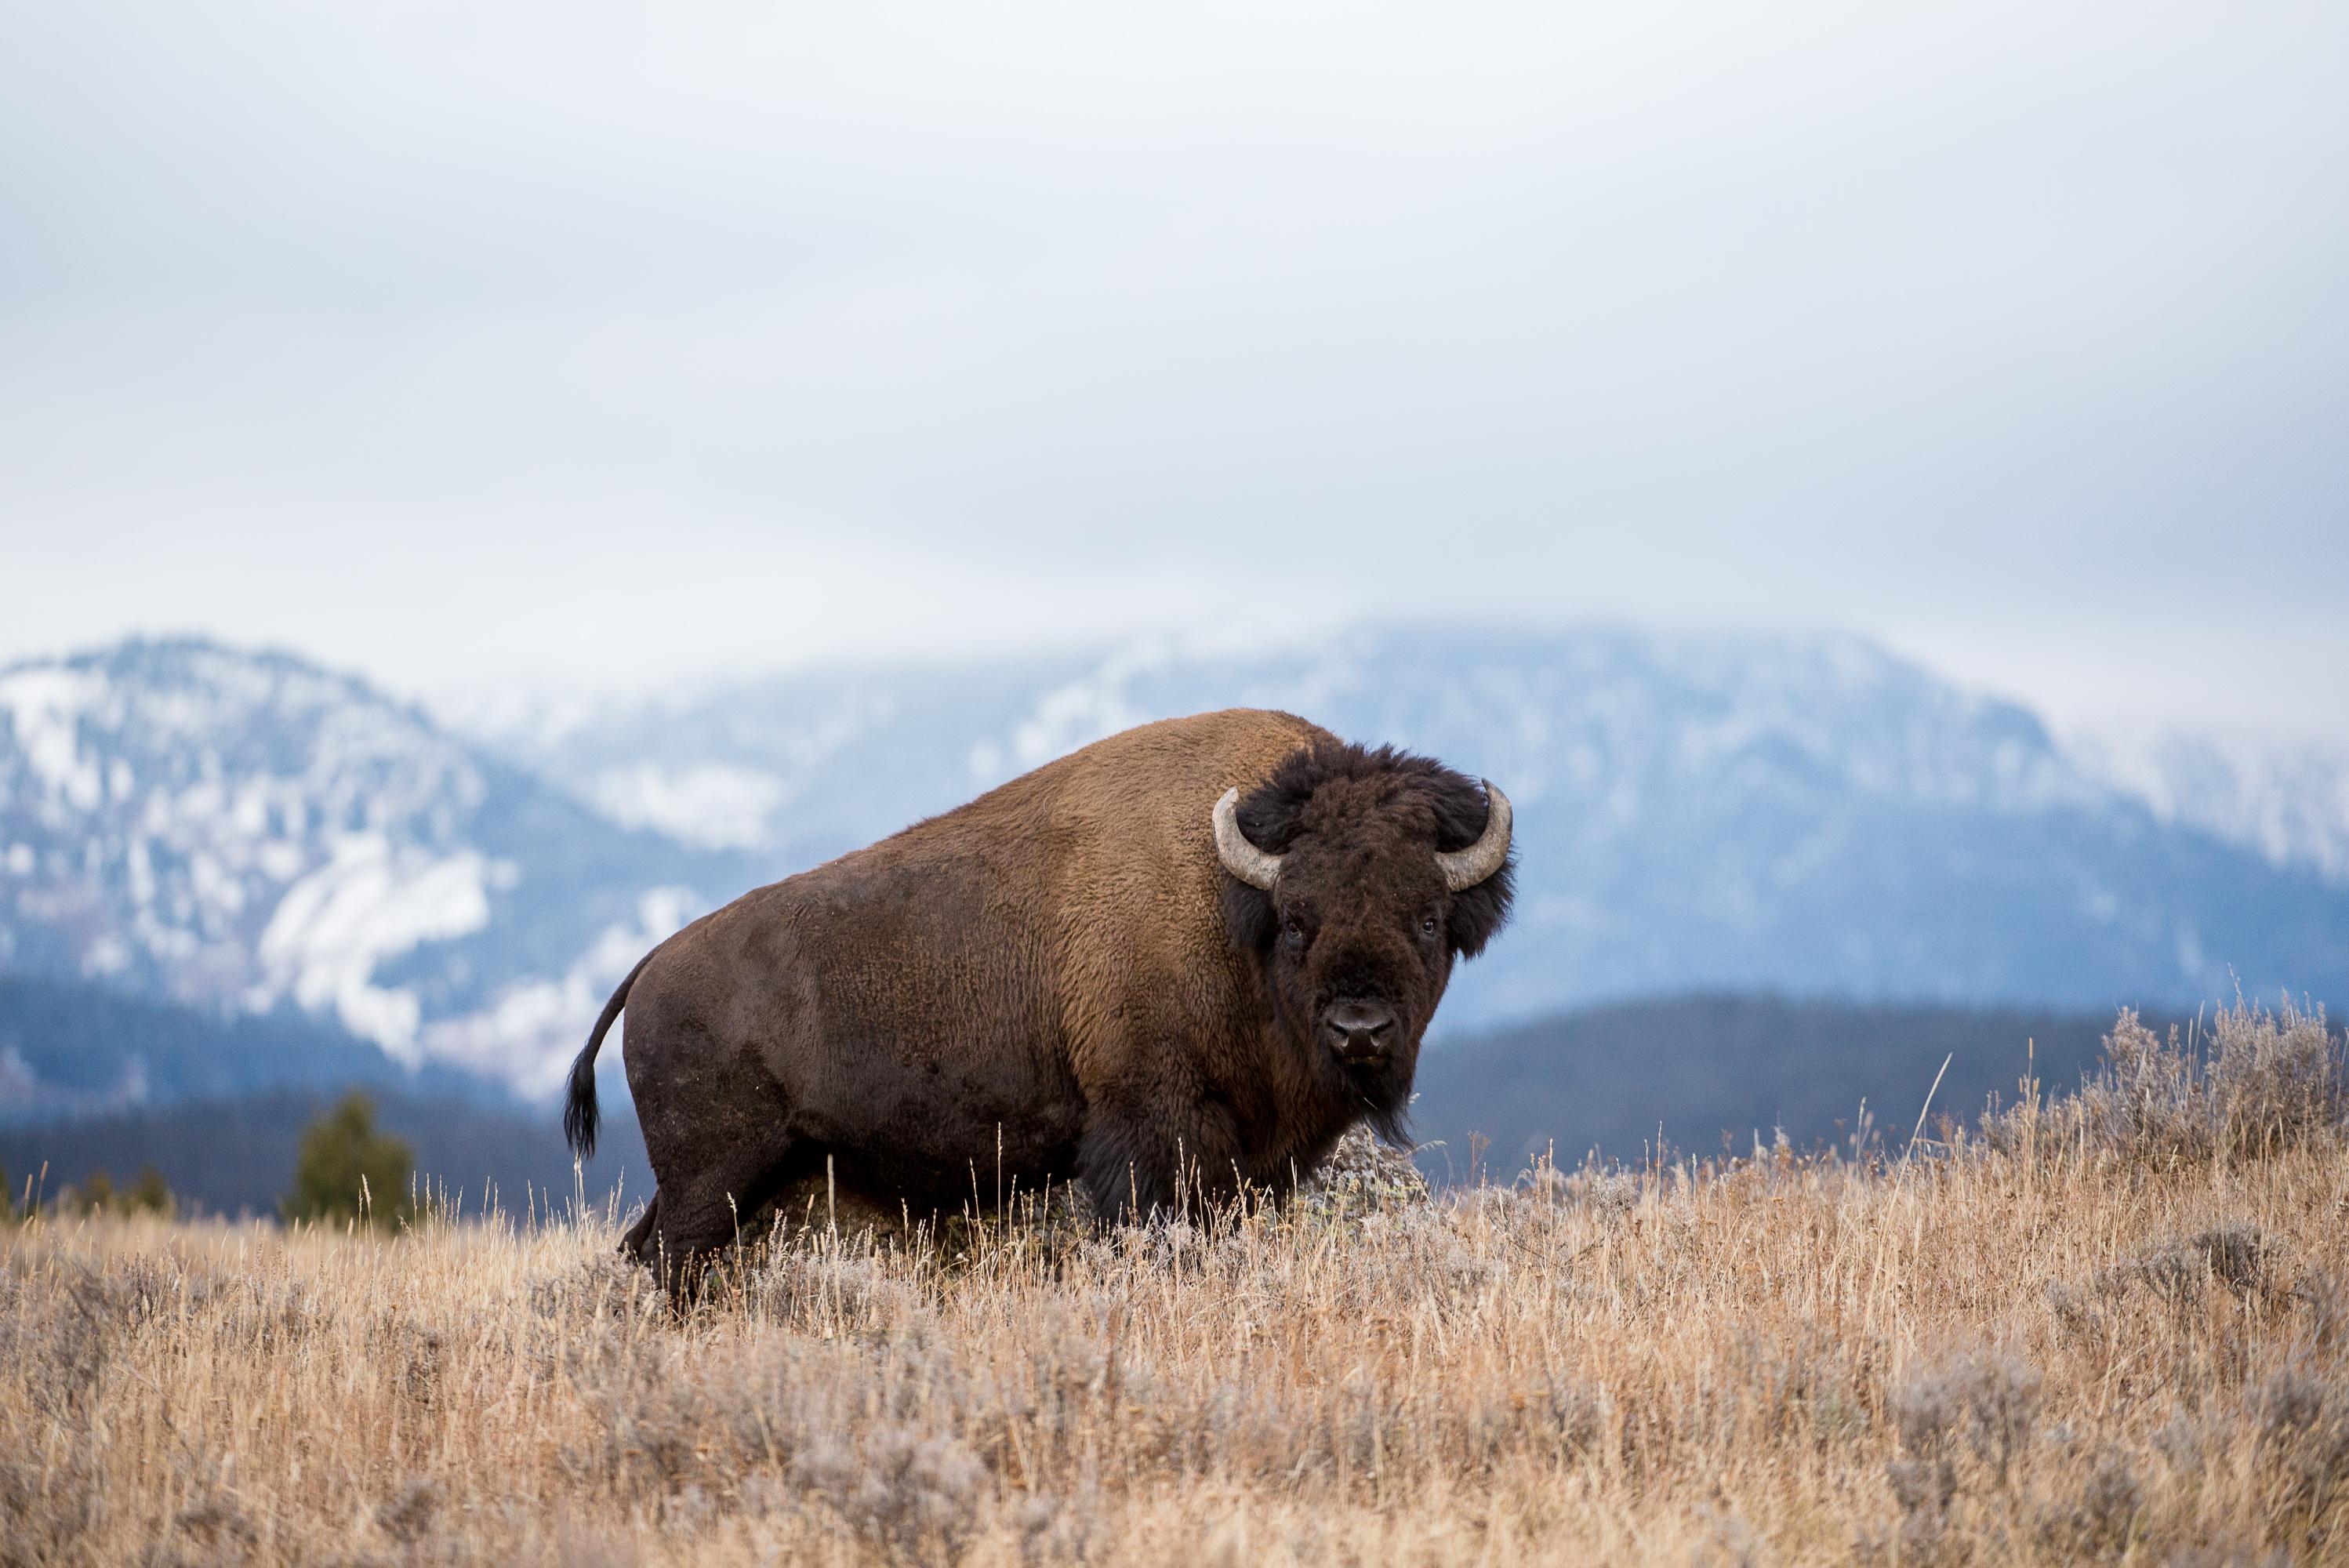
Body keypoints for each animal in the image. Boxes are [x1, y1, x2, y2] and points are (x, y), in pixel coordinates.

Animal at [564, 708, 1512, 1288]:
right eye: (1297, 919)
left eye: (1428, 917)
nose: (1360, 1028)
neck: (1228, 895)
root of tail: (650, 968)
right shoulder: (1150, 1131)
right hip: (712, 1179)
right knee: (669, 1259)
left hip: (741, 1176)